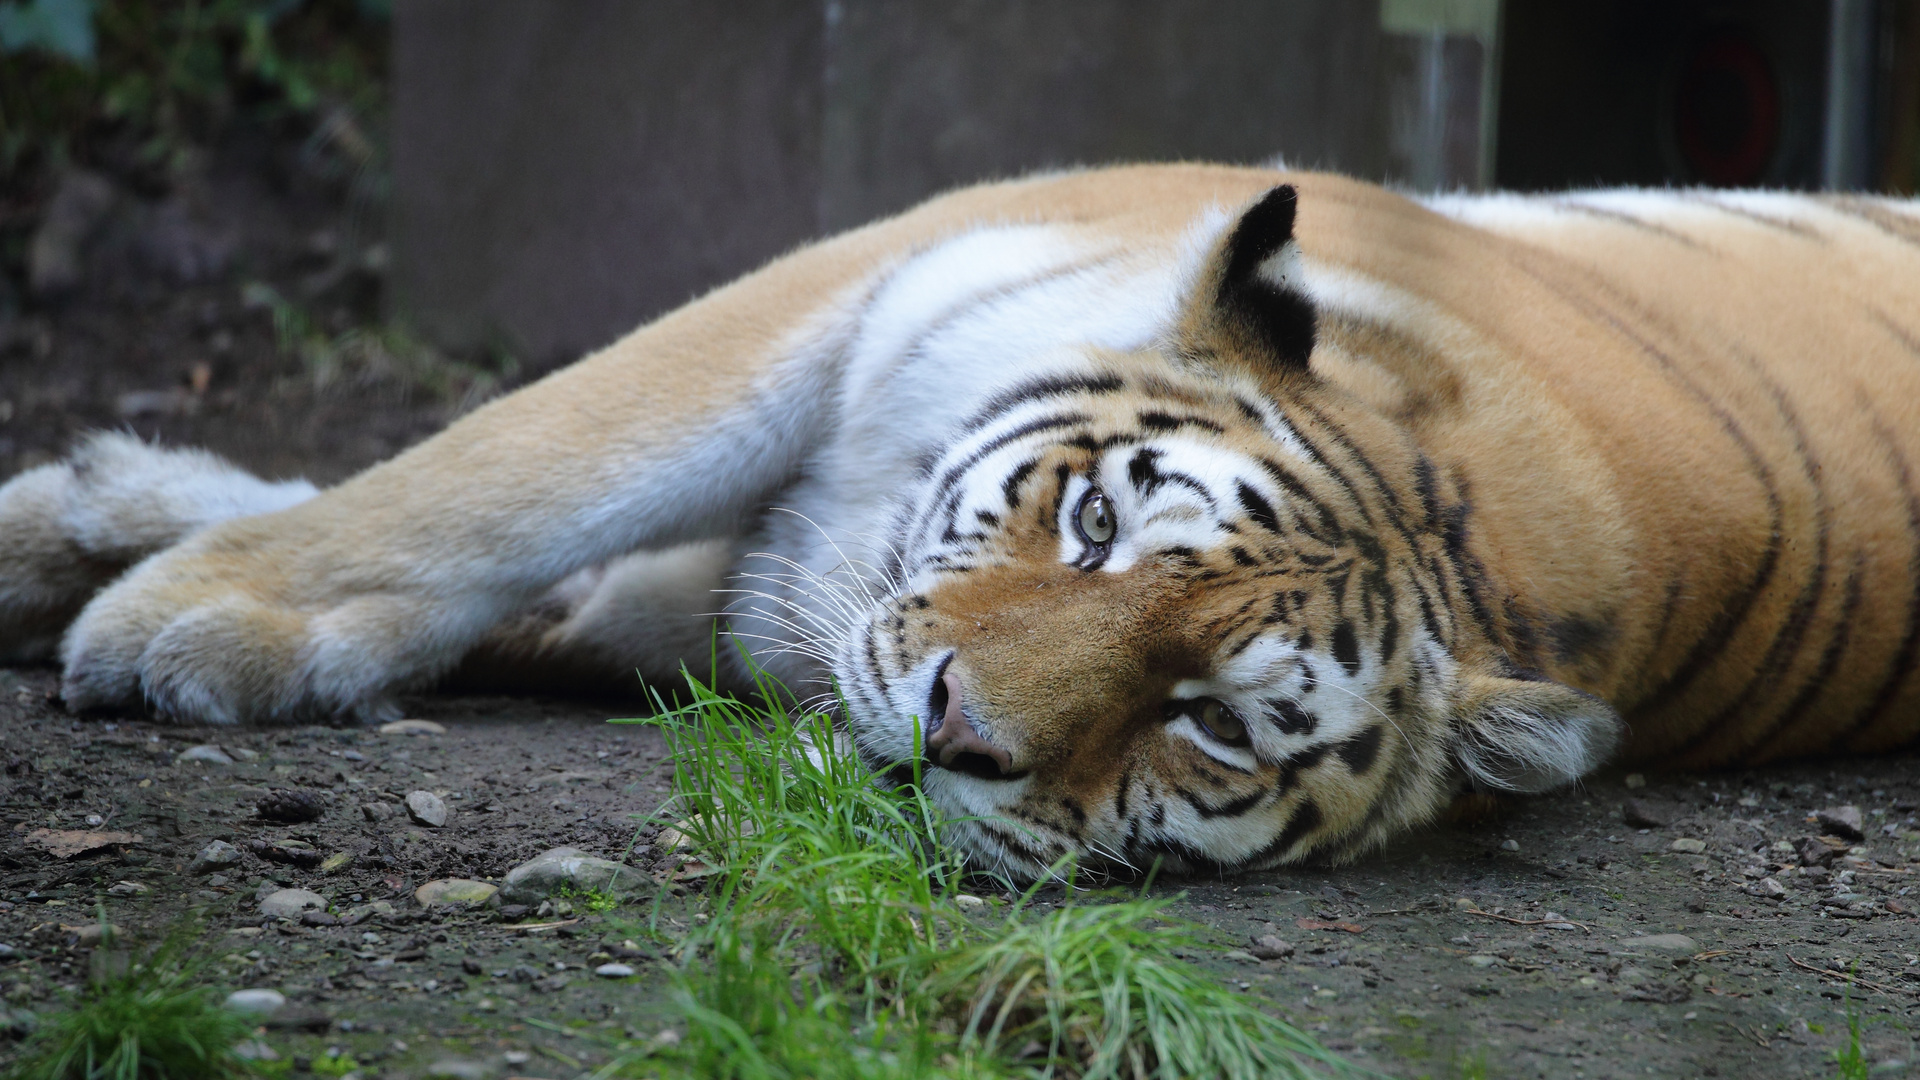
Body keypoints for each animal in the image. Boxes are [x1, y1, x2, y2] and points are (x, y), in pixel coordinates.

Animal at [2, 164, 1917, 880]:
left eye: (1215, 725)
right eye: (1091, 526)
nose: (952, 733)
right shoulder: (875, 270)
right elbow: (510, 468)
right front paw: (177, 604)